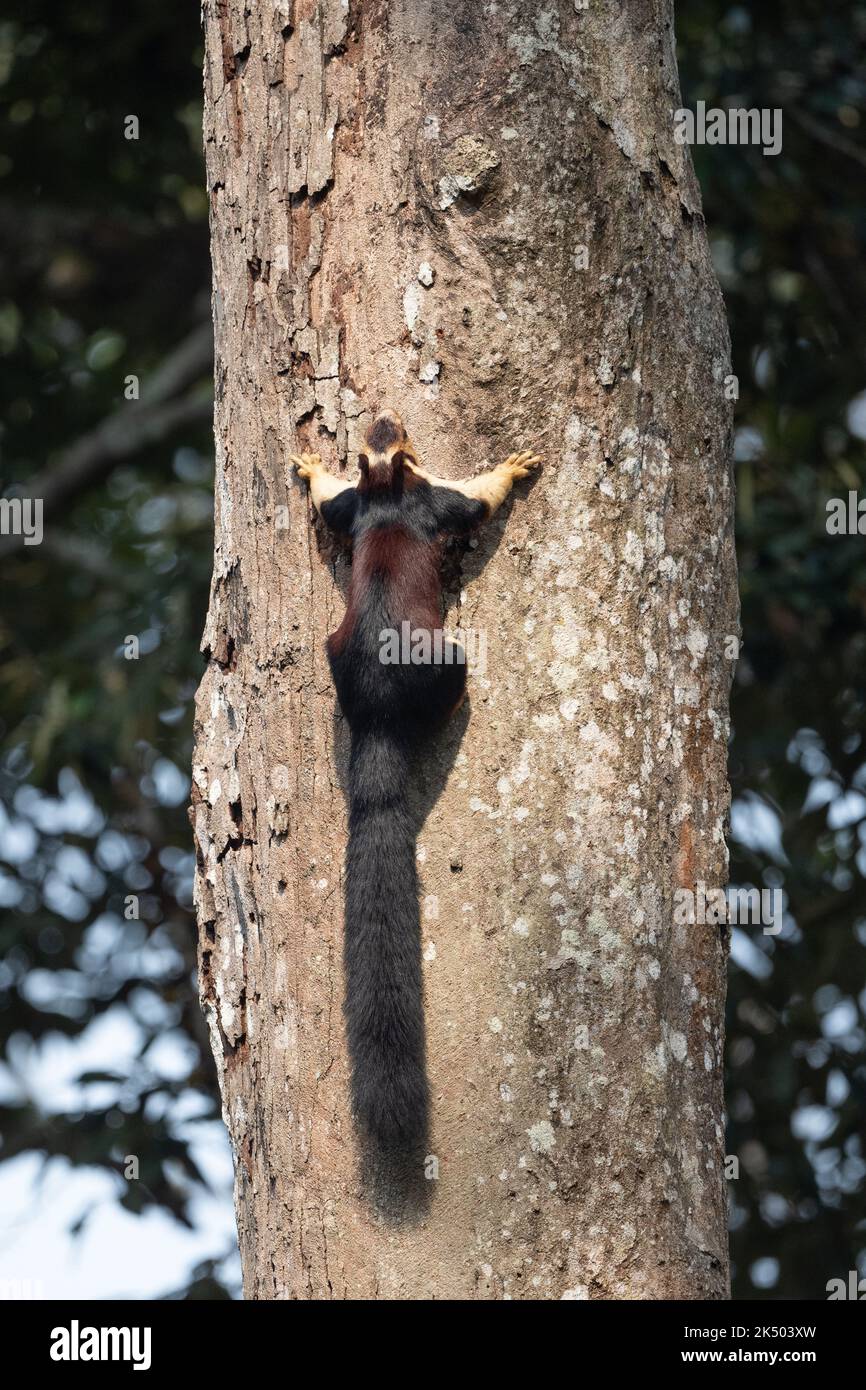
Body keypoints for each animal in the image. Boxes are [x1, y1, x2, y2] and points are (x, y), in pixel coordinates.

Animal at [293, 410, 540, 1202]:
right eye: (396, 434)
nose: (386, 417)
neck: (386, 487)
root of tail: (378, 722)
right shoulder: (436, 501)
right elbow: (478, 501)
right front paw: (514, 467)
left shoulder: (356, 507)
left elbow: (329, 503)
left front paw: (309, 467)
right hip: (445, 665)